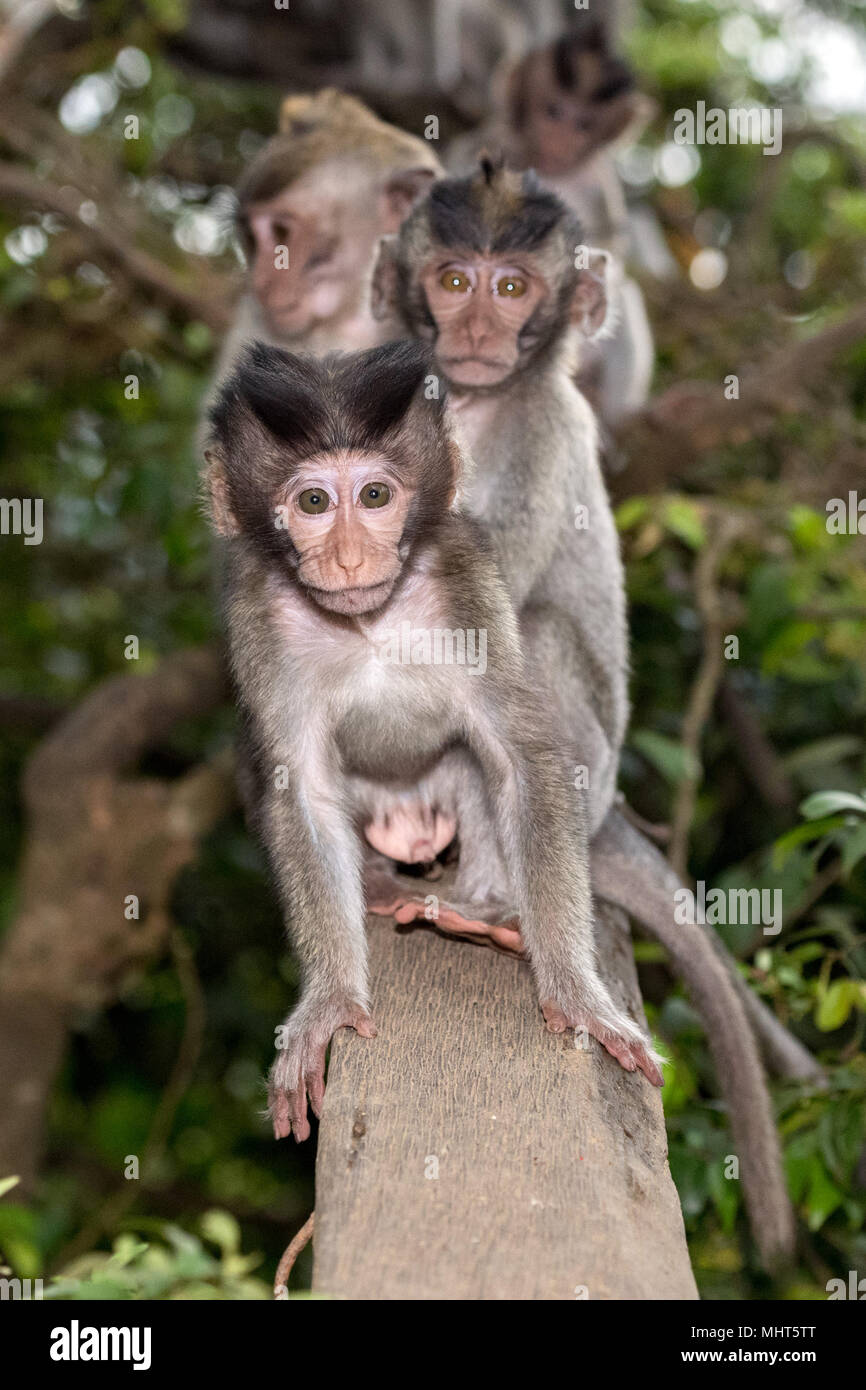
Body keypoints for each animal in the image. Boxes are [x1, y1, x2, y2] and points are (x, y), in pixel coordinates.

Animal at [204, 338, 664, 1146]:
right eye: (314, 502)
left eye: (375, 496)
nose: (350, 558)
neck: (369, 619)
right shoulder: (257, 615)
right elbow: (301, 785)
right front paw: (330, 1001)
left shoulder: (466, 582)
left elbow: (517, 755)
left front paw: (577, 992)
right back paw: (384, 885)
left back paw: (482, 911)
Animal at [370, 160, 806, 1265]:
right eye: (453, 279)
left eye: (513, 287)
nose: (479, 326)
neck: (476, 408)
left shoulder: (547, 431)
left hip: (590, 768)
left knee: (530, 652)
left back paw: (488, 901)